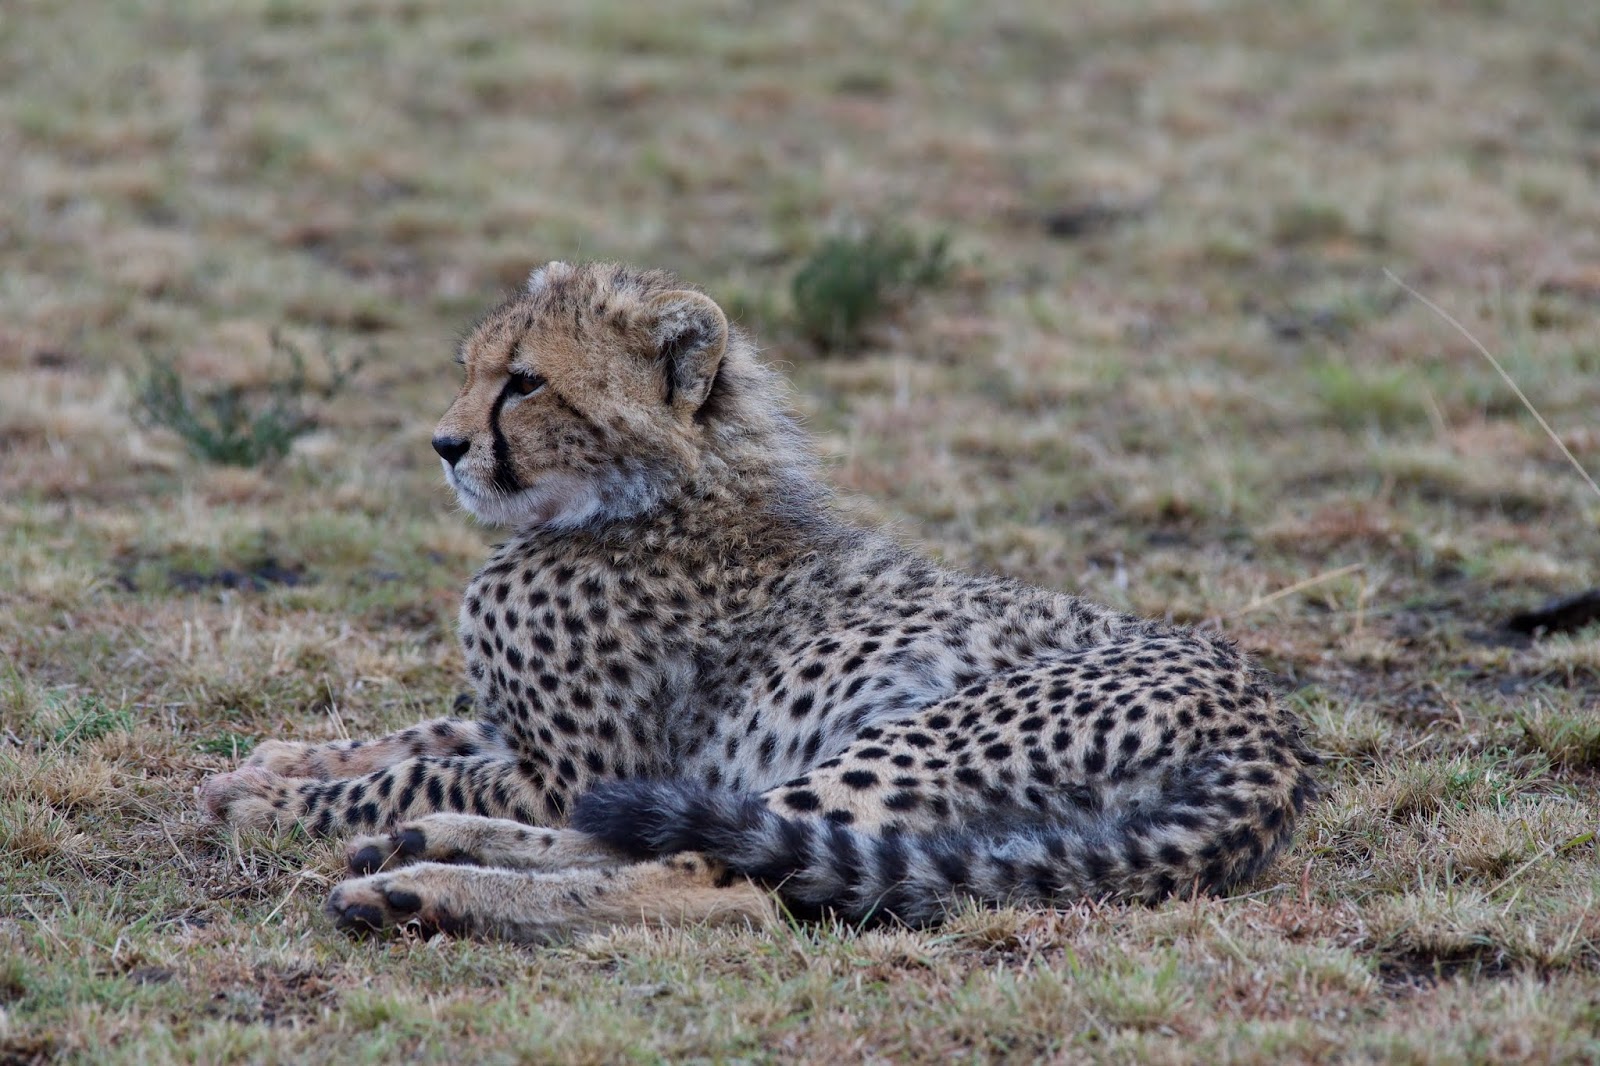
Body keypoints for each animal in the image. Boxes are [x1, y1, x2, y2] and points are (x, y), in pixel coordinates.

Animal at [199, 260, 1319, 943]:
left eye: (525, 383)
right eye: (472, 370)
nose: (444, 444)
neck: (659, 496)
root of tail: (1275, 731)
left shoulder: (566, 772)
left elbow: (416, 768)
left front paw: (269, 803)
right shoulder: (536, 743)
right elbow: (414, 735)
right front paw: (277, 763)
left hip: (911, 737)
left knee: (723, 876)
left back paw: (417, 885)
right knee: (690, 831)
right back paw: (431, 845)